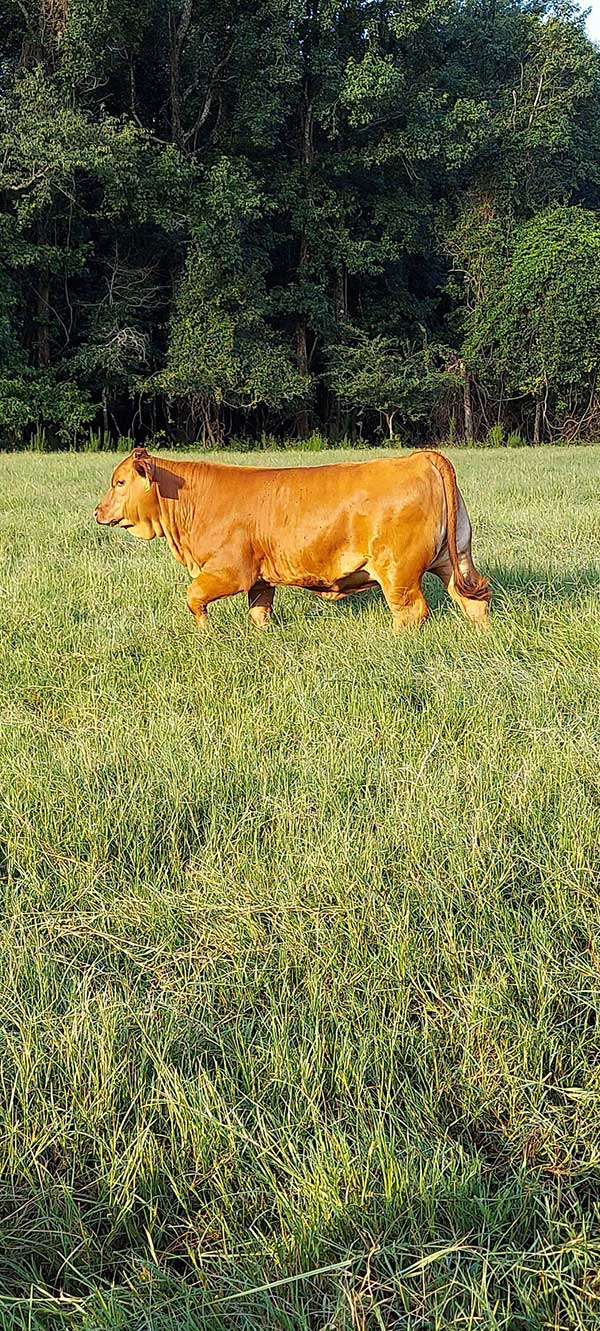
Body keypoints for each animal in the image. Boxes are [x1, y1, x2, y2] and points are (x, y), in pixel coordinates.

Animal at [94, 447, 490, 631]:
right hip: (456, 557)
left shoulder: (229, 571)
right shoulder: (260, 580)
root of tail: (417, 457)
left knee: (410, 611)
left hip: (398, 571)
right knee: (475, 597)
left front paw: (206, 636)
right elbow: (259, 613)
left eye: (119, 482)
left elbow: (194, 598)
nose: (97, 511)